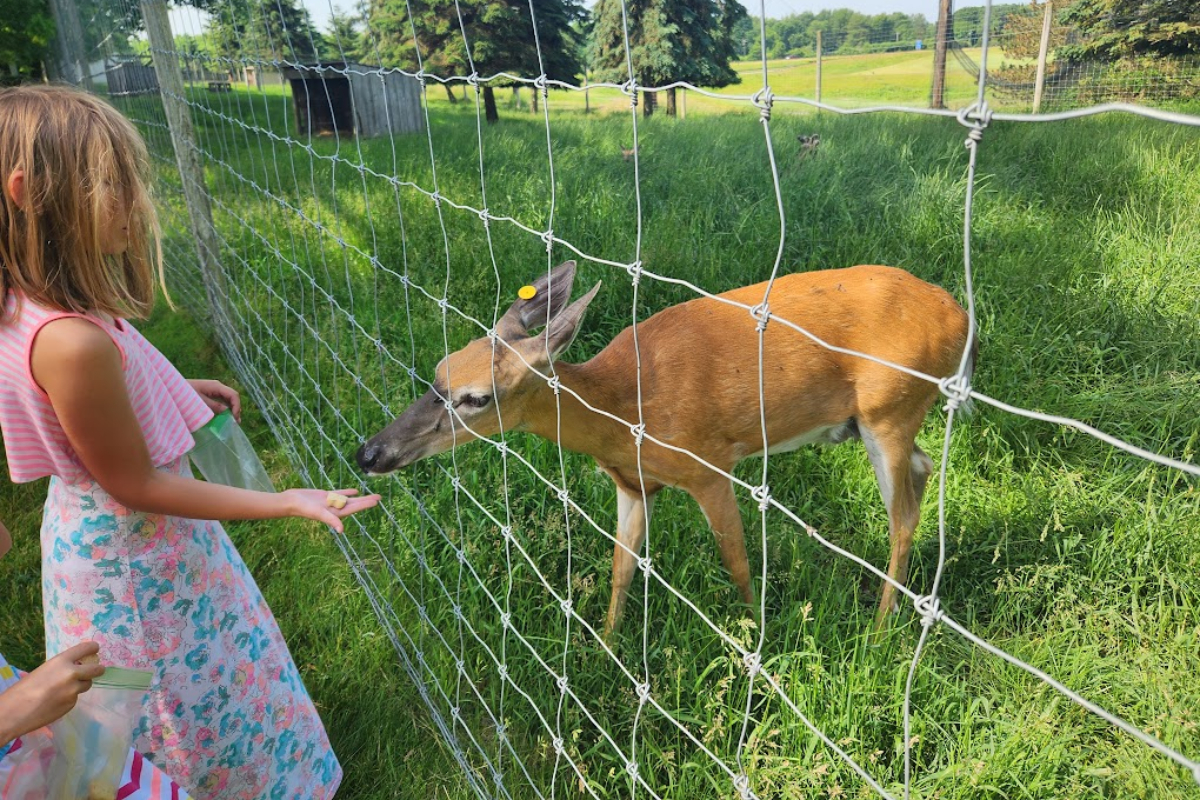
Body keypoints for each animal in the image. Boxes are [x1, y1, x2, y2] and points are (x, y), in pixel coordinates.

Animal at [356, 261, 974, 639]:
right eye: (439, 369)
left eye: (477, 397)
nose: (370, 454)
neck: (623, 409)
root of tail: (962, 316)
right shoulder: (633, 484)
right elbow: (621, 568)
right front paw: (606, 646)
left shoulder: (709, 465)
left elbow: (737, 560)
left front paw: (756, 634)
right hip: (879, 419)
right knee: (923, 469)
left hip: (889, 408)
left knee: (903, 515)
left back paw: (881, 626)